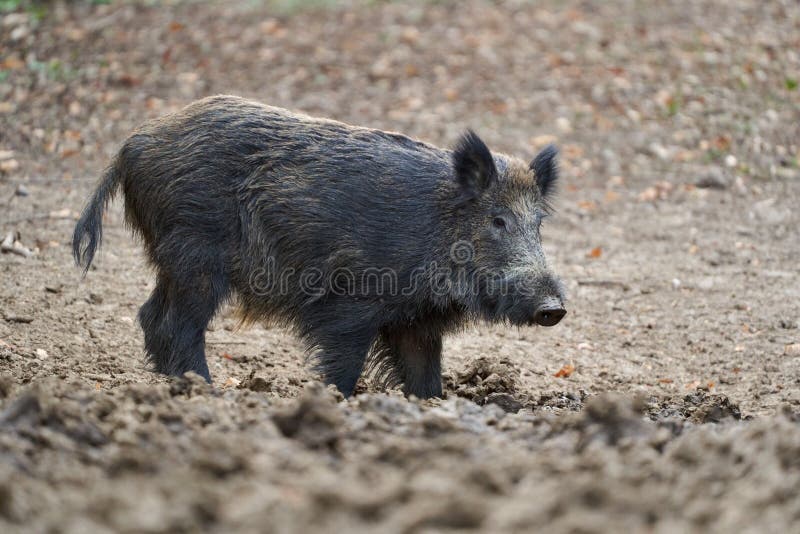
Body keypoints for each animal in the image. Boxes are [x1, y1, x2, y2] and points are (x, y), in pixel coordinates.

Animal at [73, 95, 566, 399]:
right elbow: (343, 366)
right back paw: (209, 391)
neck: (437, 224)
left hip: (173, 261)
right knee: (175, 324)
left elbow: (424, 375)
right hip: (195, 259)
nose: (554, 309)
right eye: (498, 220)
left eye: (538, 223)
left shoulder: (415, 321)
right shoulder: (349, 305)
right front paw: (335, 401)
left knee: (150, 316)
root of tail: (130, 146)